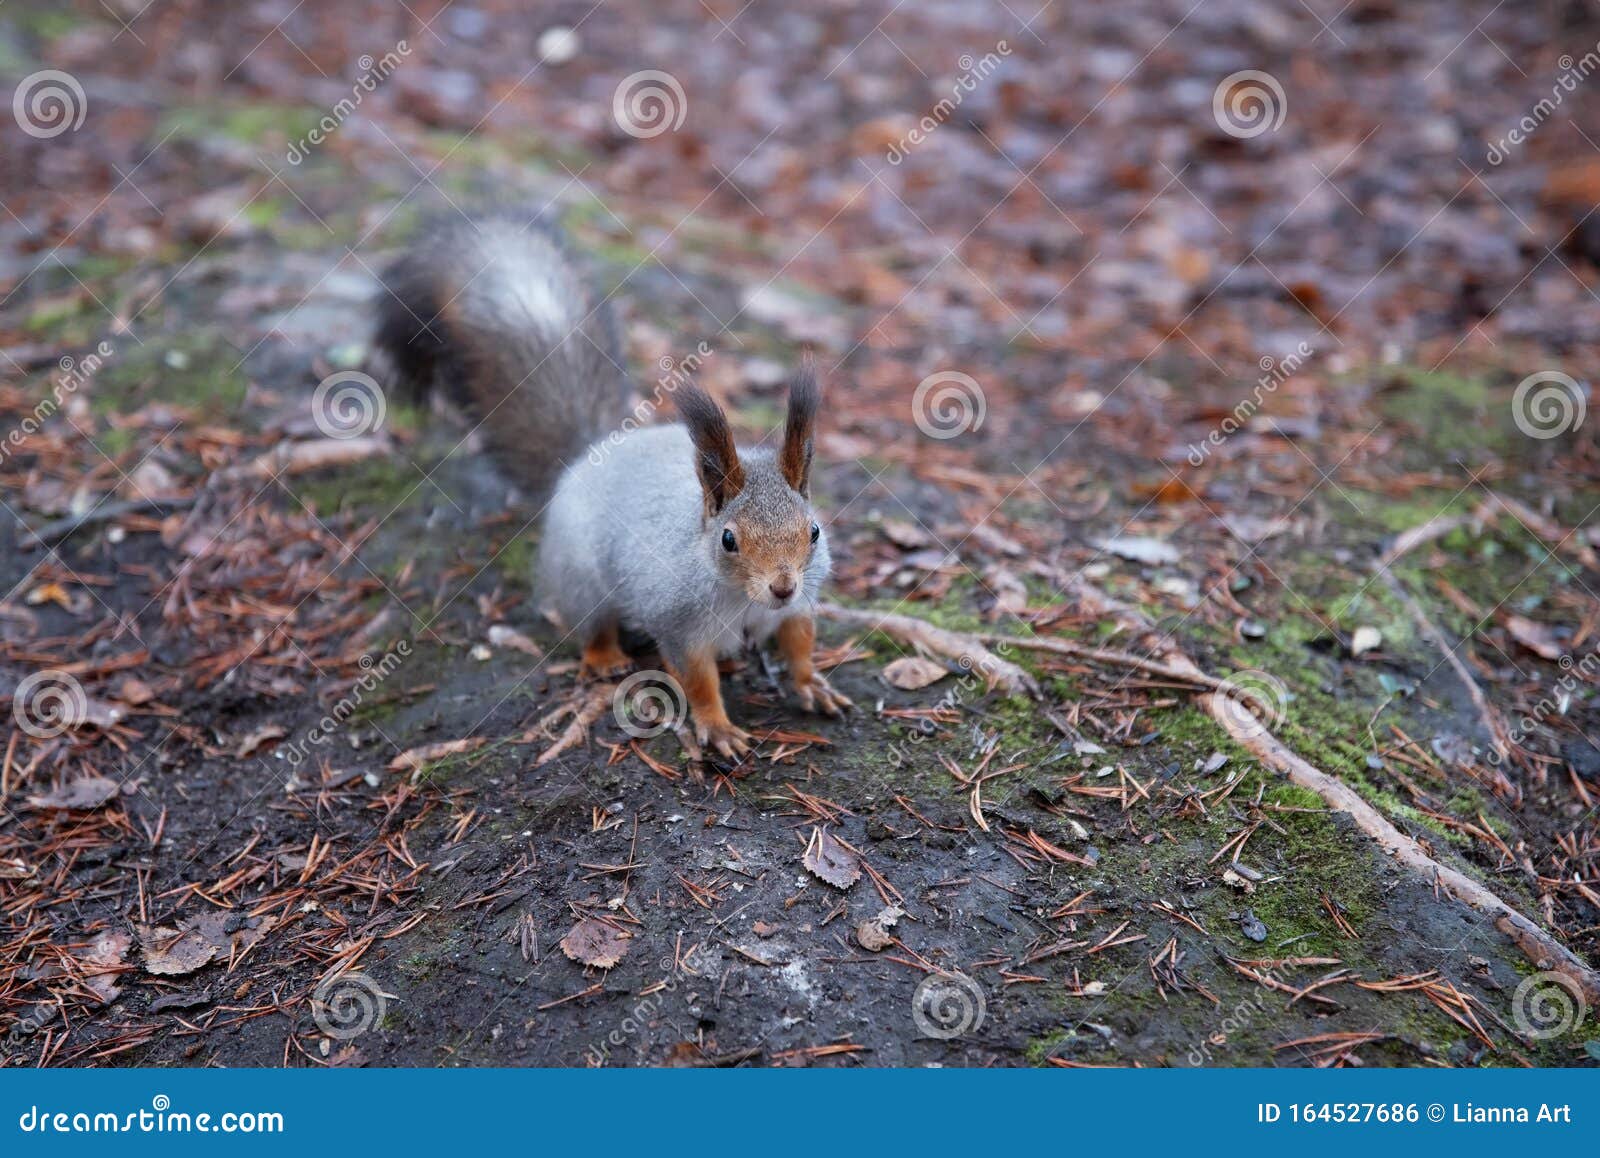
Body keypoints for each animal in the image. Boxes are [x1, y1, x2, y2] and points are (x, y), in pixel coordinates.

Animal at [373, 214, 851, 757]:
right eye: (729, 539)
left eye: (814, 531)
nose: (783, 586)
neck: (745, 599)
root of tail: (588, 458)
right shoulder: (678, 621)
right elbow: (696, 678)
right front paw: (717, 725)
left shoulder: (800, 608)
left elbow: (799, 644)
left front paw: (811, 683)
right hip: (581, 578)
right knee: (593, 625)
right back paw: (605, 657)